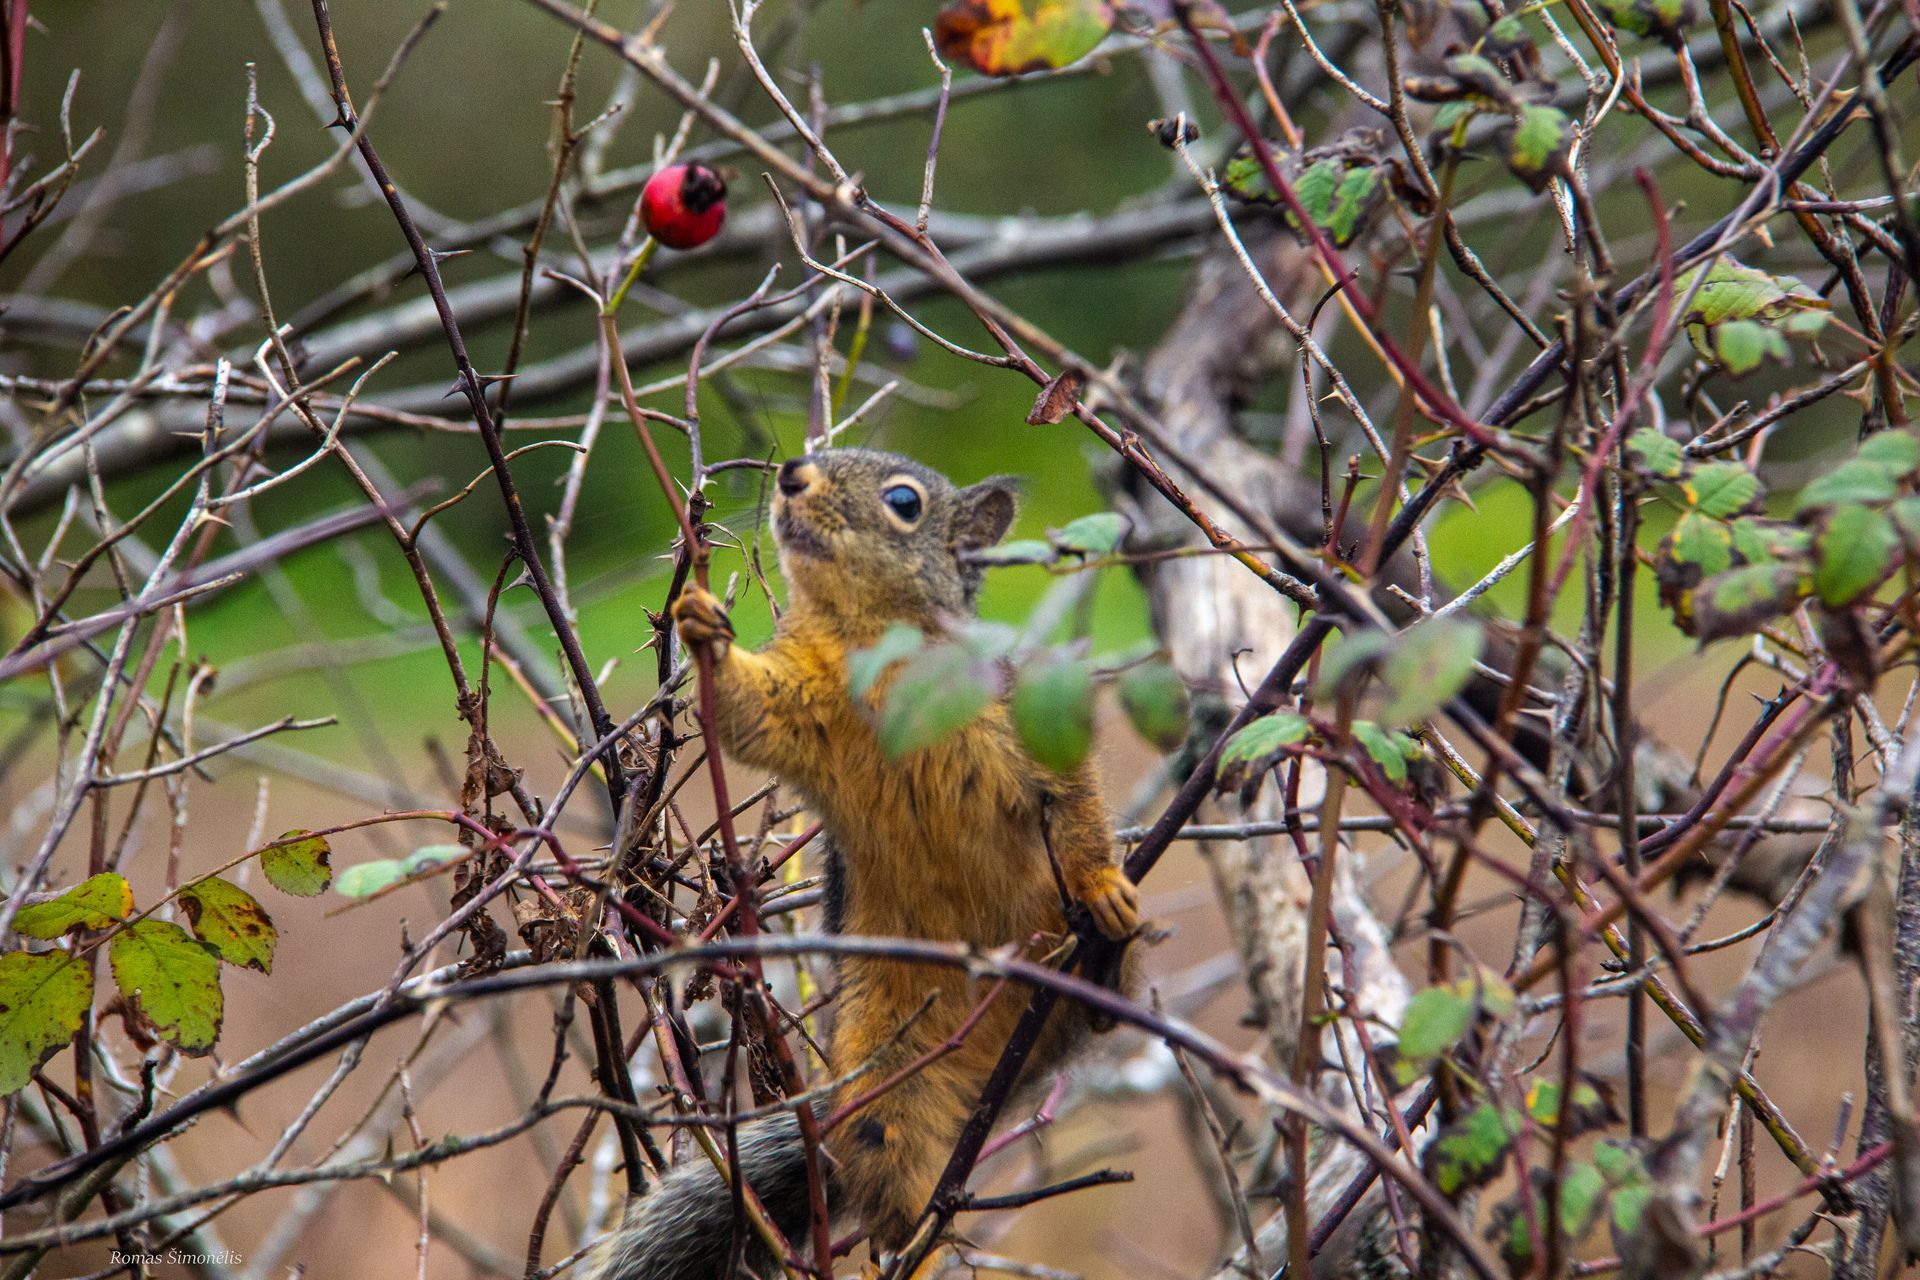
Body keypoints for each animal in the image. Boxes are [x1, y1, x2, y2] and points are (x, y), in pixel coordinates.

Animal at [585, 448, 1142, 1279]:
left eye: (905, 502)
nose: (791, 473)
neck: (871, 639)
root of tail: (1010, 1058)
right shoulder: (798, 700)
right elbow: (747, 713)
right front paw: (701, 626)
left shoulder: (1015, 708)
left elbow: (1069, 793)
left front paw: (1103, 881)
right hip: (888, 1068)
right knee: (893, 1157)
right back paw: (914, 1243)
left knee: (1108, 1007)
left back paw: (1104, 959)